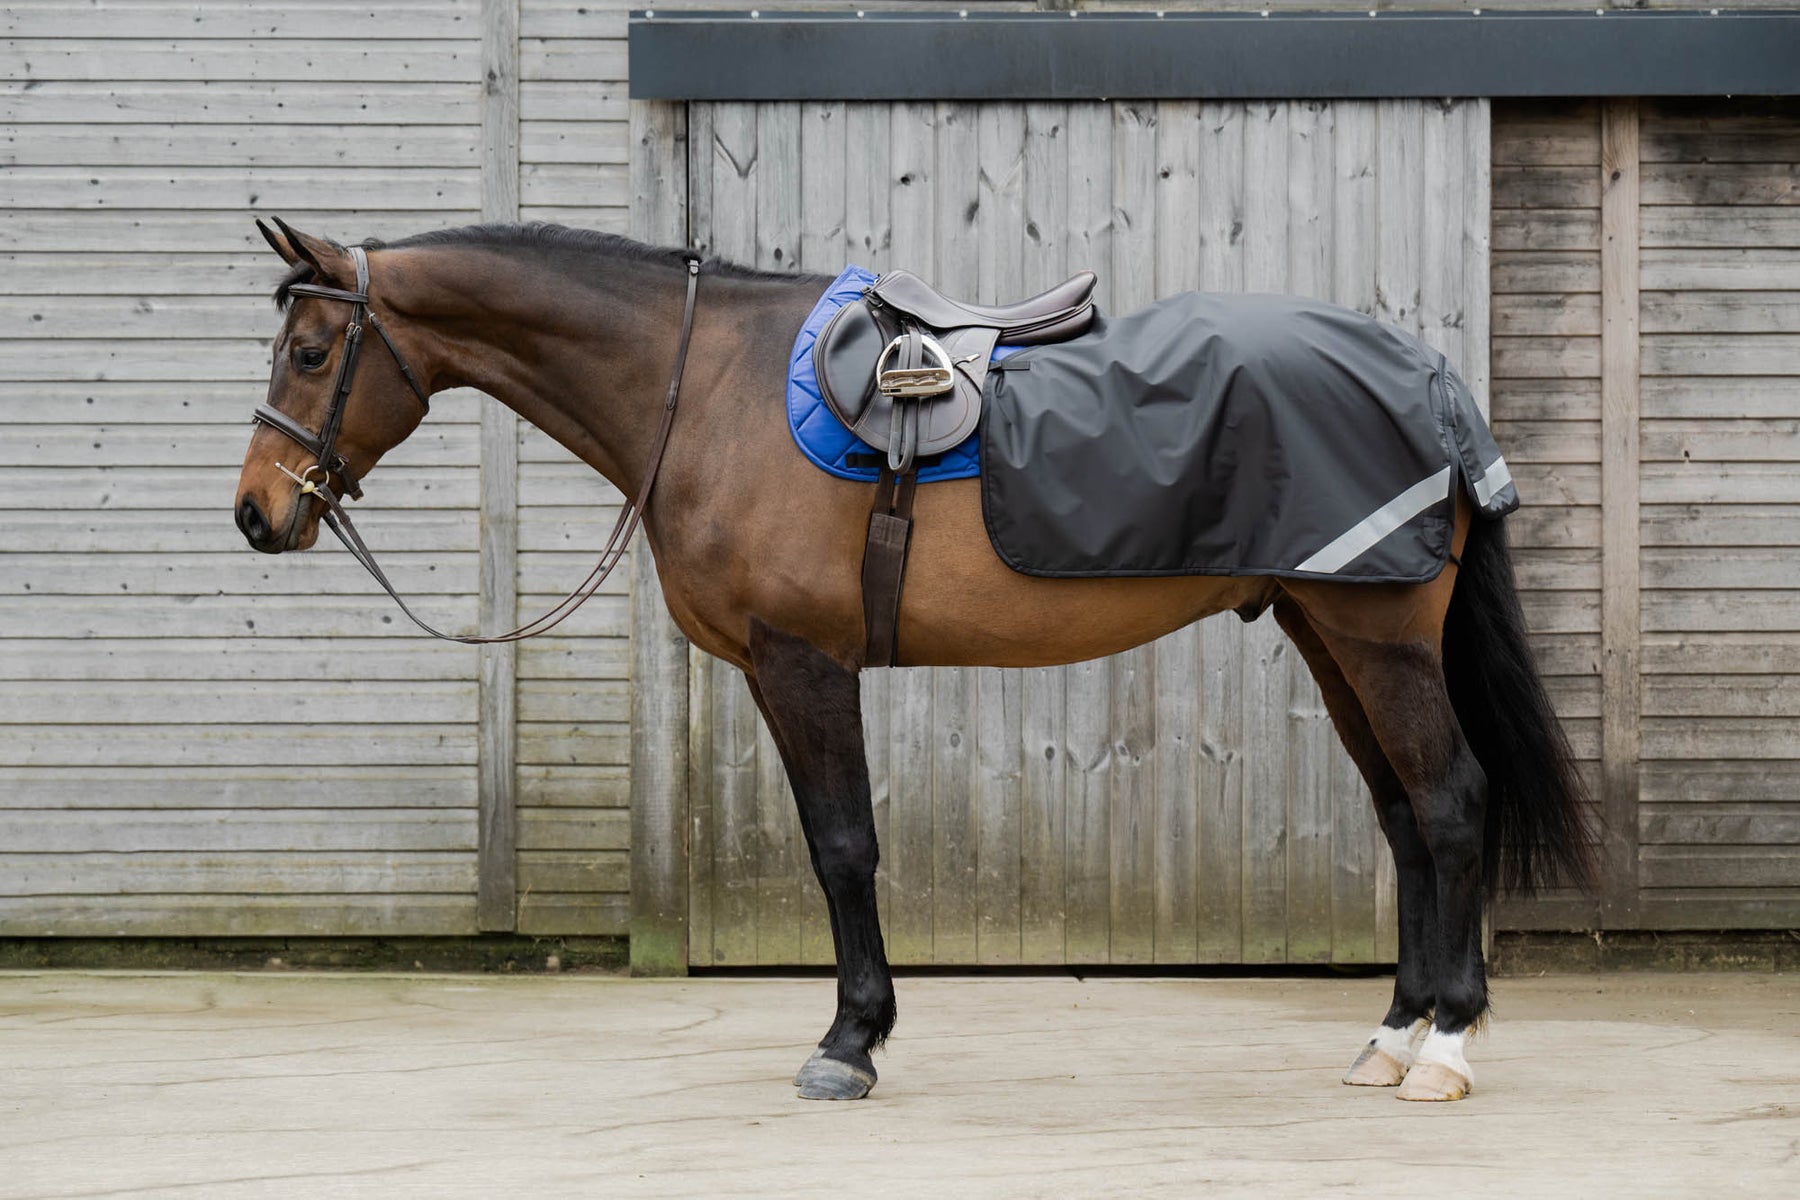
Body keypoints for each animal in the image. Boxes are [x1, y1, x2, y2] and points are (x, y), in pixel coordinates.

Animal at [234, 219, 1591, 1104]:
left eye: (310, 353)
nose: (258, 514)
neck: (703, 385)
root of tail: (1430, 378)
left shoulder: (803, 661)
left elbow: (845, 848)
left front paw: (850, 1043)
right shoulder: (772, 670)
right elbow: (831, 845)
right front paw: (857, 1030)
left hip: (1379, 636)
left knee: (1451, 804)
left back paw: (1447, 1048)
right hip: (1330, 631)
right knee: (1406, 820)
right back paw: (1391, 1037)